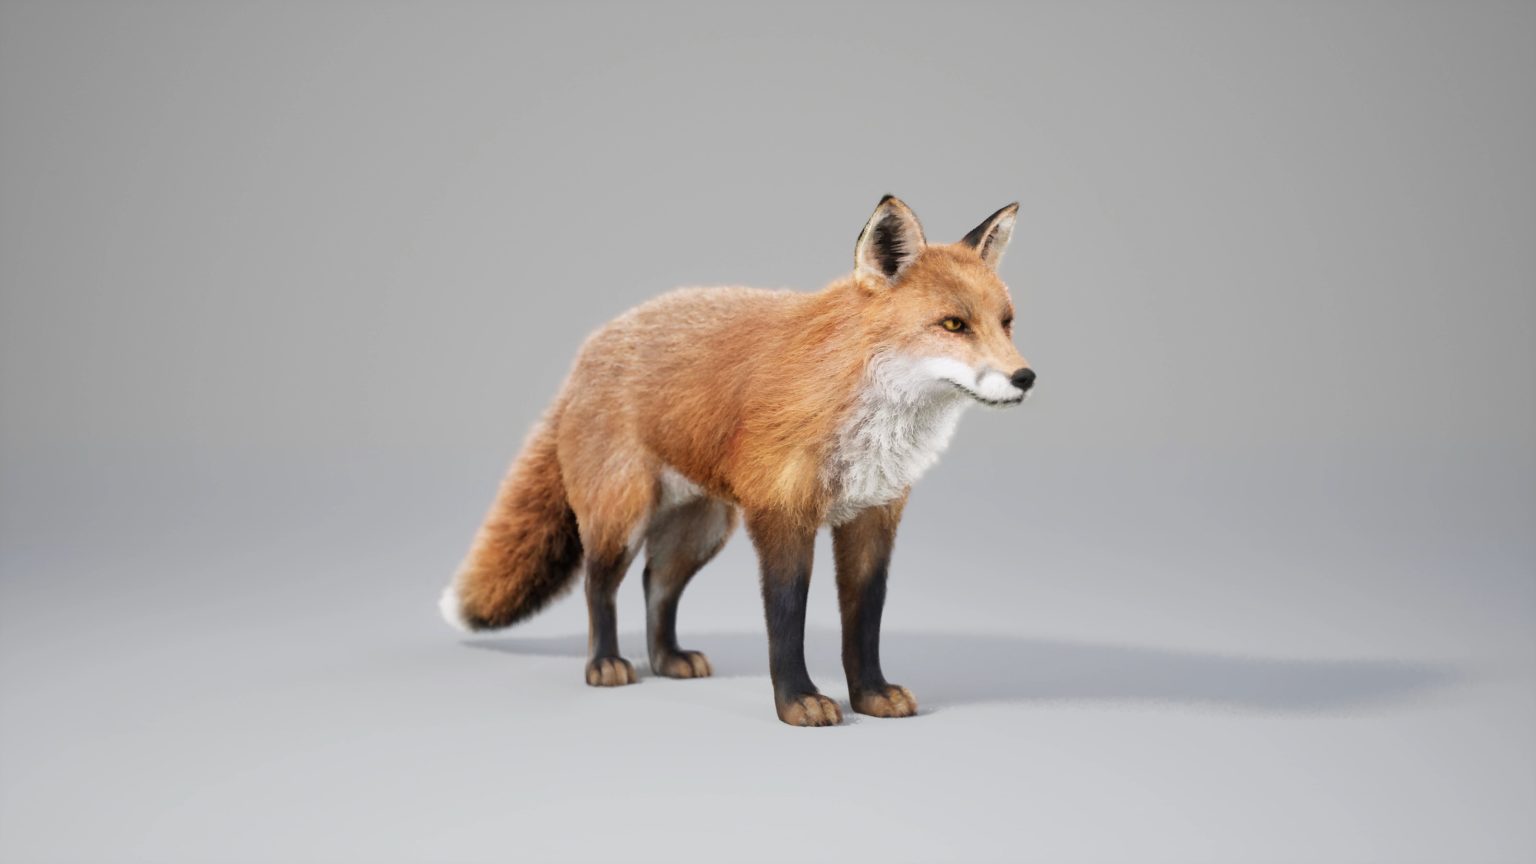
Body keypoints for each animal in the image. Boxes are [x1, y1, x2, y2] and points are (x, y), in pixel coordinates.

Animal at [439, 196, 1035, 726]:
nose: (1025, 378)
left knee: (656, 584)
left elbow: (864, 621)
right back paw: (605, 662)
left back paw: (668, 659)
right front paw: (798, 702)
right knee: (599, 586)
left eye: (1006, 323)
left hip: (701, 530)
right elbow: (787, 619)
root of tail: (589, 350)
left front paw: (870, 694)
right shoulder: (782, 513)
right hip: (621, 519)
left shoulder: (873, 516)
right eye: (953, 325)